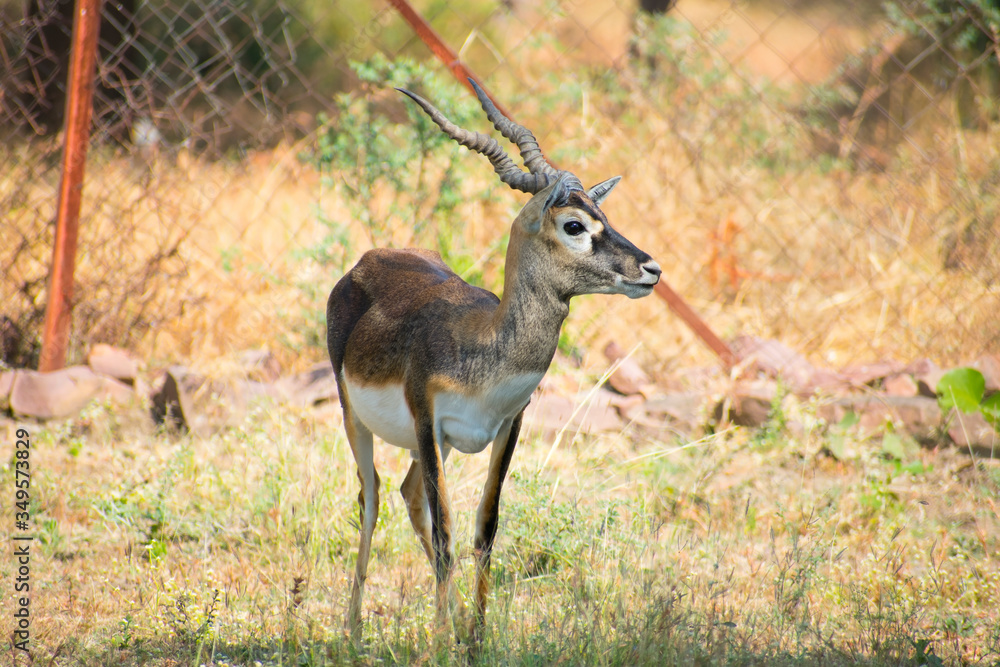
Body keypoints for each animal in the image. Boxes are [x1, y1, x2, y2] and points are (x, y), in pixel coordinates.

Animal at [326, 78, 661, 641]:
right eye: (574, 225)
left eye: (605, 218)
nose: (650, 269)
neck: (485, 347)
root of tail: (367, 259)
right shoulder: (428, 424)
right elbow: (445, 534)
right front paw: (442, 642)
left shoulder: (508, 426)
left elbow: (485, 528)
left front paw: (475, 638)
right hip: (357, 419)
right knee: (369, 499)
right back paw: (351, 630)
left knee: (407, 494)